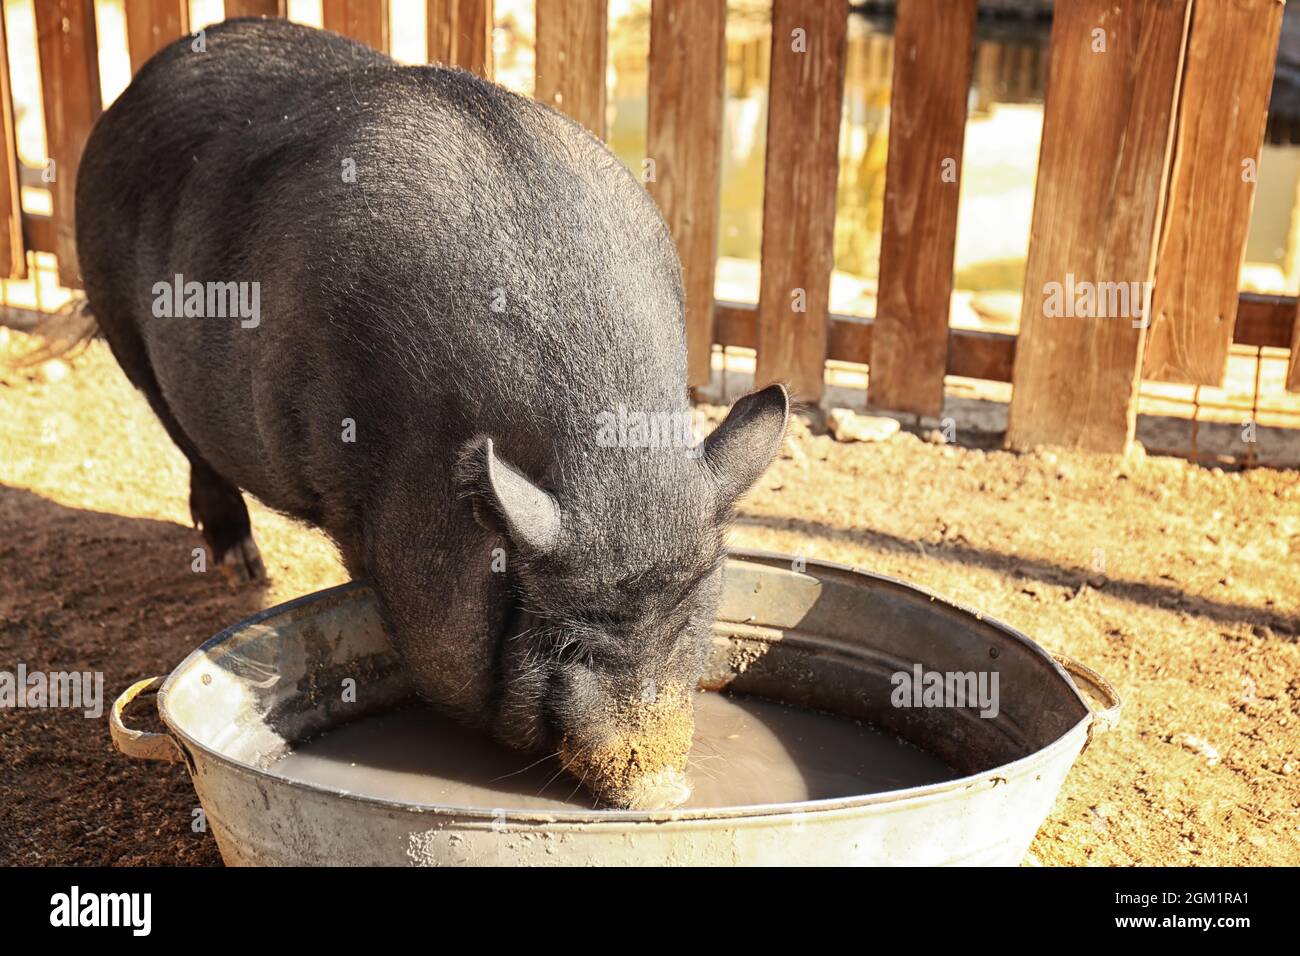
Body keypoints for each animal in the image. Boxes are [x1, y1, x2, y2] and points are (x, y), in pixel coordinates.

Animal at [75, 18, 788, 808]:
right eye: (563, 641)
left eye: (688, 622)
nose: (659, 789)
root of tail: (143, 79)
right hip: (121, 325)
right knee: (188, 443)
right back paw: (241, 567)